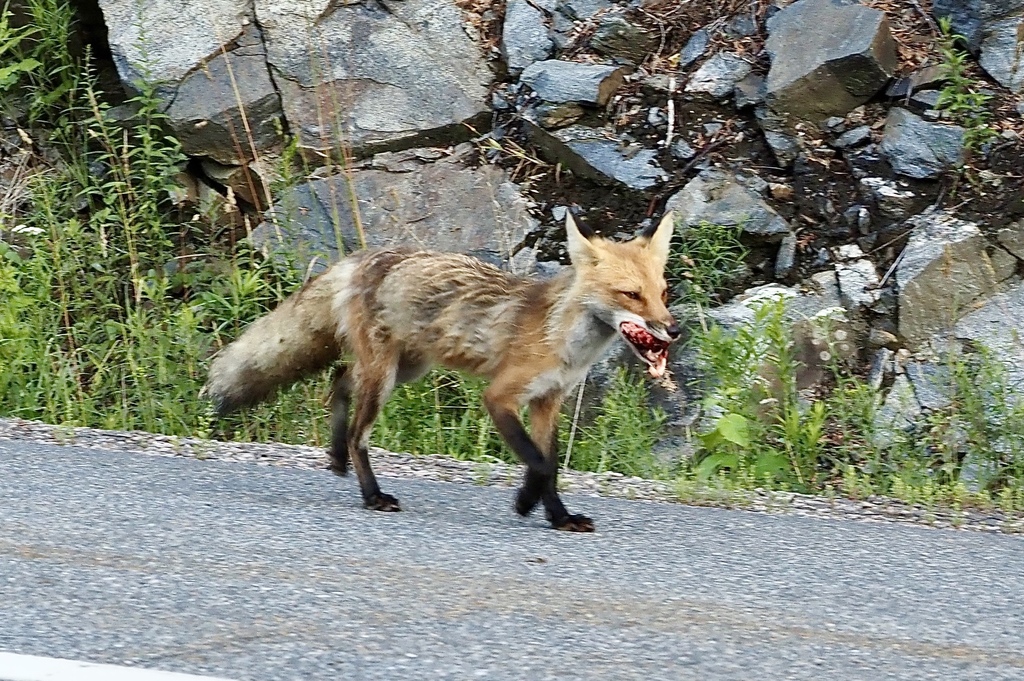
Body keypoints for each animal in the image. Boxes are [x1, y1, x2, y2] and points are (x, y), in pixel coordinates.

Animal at [203, 211, 680, 531]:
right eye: (631, 295)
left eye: (662, 292)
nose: (673, 329)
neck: (563, 342)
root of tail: (364, 257)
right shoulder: (501, 396)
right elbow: (541, 464)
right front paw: (525, 502)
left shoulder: (548, 401)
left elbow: (551, 463)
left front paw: (558, 517)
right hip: (386, 378)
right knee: (359, 431)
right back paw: (372, 494)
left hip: (403, 370)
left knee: (338, 380)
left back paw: (336, 455)